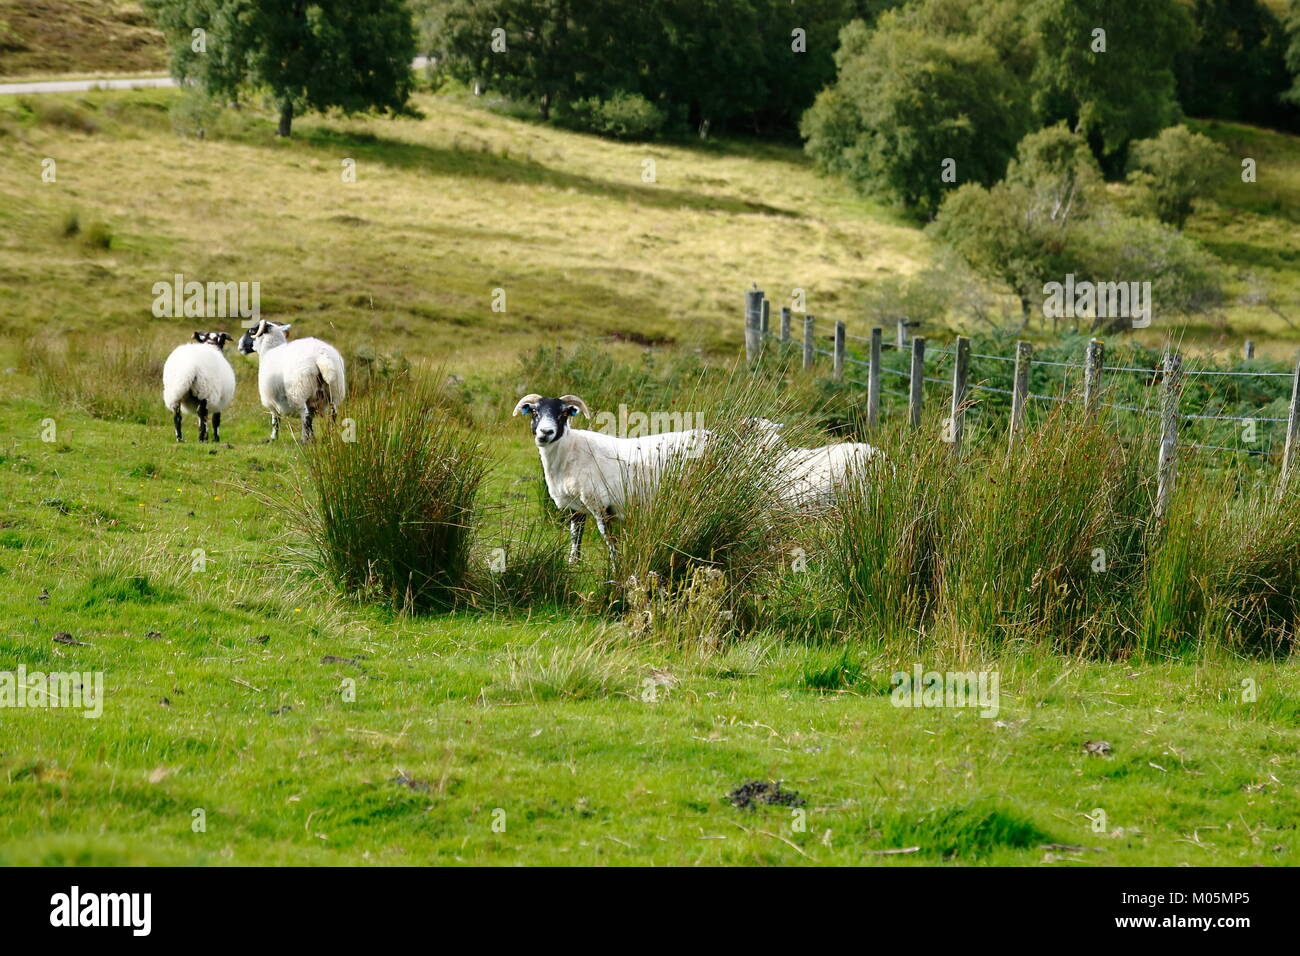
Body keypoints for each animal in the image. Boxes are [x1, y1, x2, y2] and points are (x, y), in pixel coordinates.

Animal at [512, 393, 708, 562]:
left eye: (564, 414)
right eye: (534, 412)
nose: (545, 433)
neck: (569, 452)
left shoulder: (600, 505)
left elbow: (610, 541)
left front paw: (615, 570)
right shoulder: (576, 508)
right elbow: (575, 540)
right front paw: (572, 565)